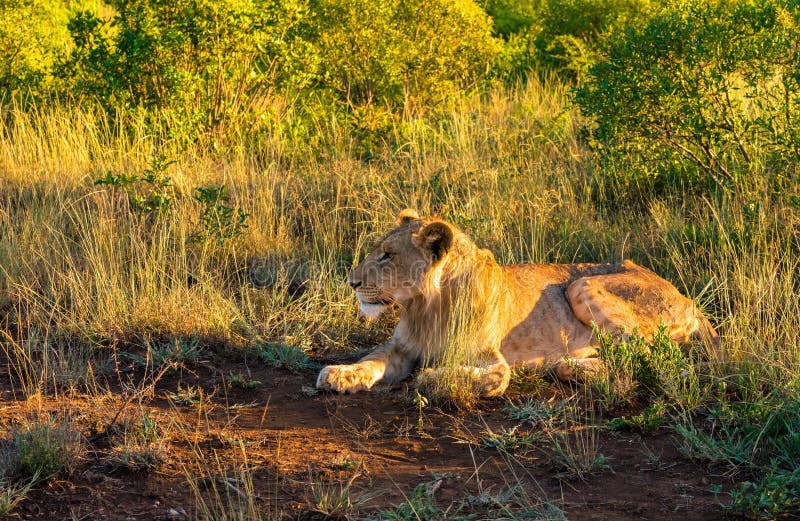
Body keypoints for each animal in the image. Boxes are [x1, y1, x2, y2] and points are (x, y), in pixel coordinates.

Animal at [316, 209, 718, 396]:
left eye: (387, 255)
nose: (351, 282)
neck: (425, 307)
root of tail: (687, 297)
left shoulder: (492, 361)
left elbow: (488, 377)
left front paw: (430, 377)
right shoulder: (401, 346)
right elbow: (371, 359)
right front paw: (340, 374)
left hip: (582, 284)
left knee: (655, 362)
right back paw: (569, 364)